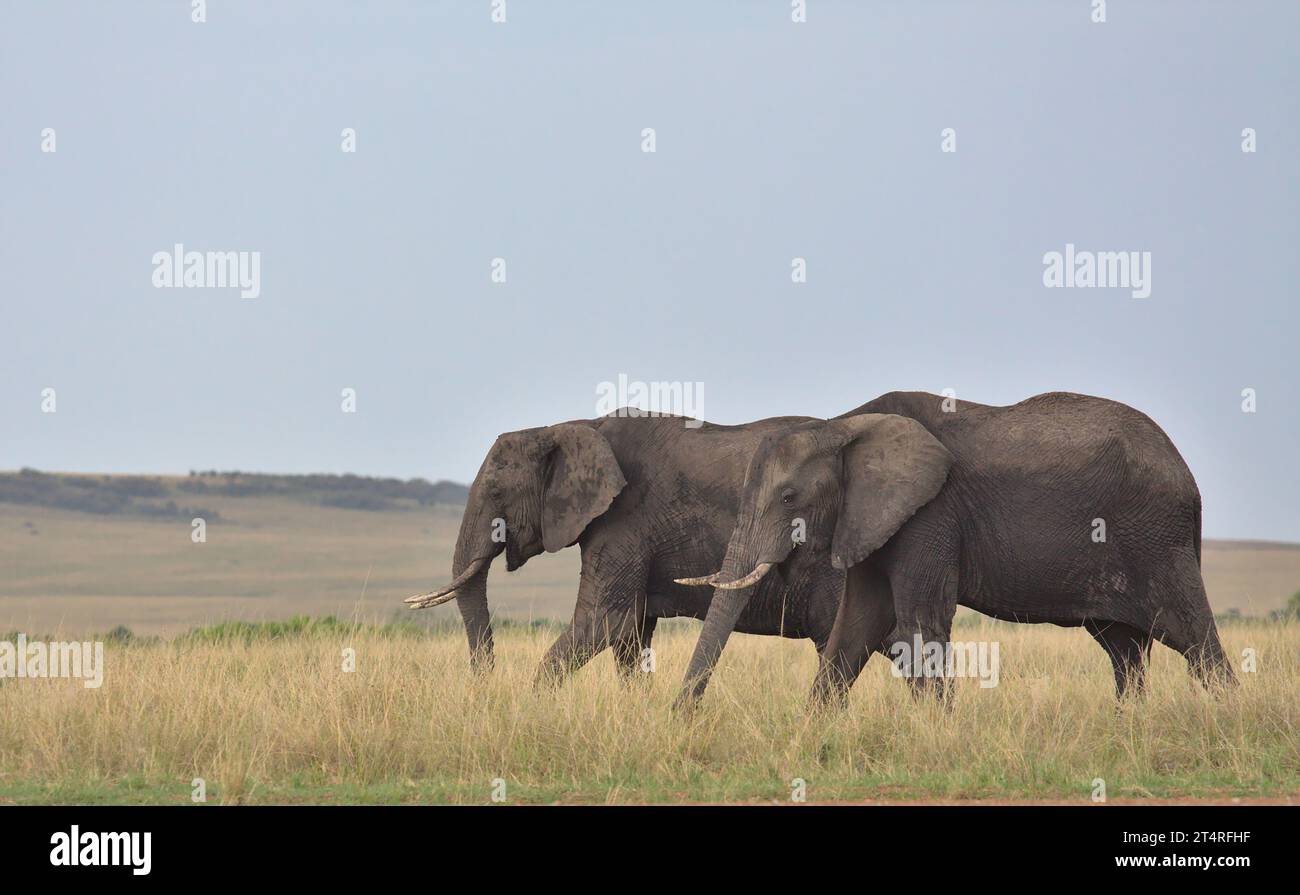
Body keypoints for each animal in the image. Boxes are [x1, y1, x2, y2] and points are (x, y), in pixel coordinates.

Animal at [405, 411, 846, 688]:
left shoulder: (626, 519)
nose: (487, 688)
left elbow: (605, 621)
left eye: (497, 493)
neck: (574, 427)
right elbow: (631, 635)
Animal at [676, 391, 1234, 707]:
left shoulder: (931, 513)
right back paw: (1130, 724)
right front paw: (812, 733)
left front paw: (935, 733)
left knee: (1192, 635)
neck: (843, 427)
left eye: (790, 498)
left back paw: (1225, 717)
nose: (684, 715)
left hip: (1156, 536)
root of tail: (1189, 478)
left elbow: (919, 621)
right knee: (1124, 649)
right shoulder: (871, 519)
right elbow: (855, 625)